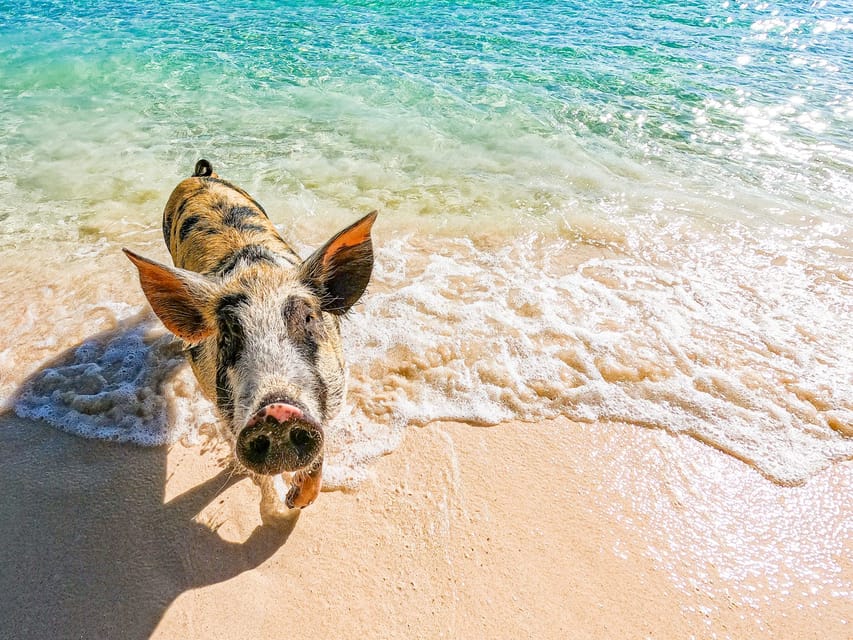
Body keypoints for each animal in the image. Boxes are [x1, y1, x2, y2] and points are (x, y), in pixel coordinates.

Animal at [124, 159, 376, 513]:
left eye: (308, 318)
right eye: (229, 334)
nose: (277, 410)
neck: (256, 271)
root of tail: (199, 175)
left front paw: (294, 503)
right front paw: (281, 504)